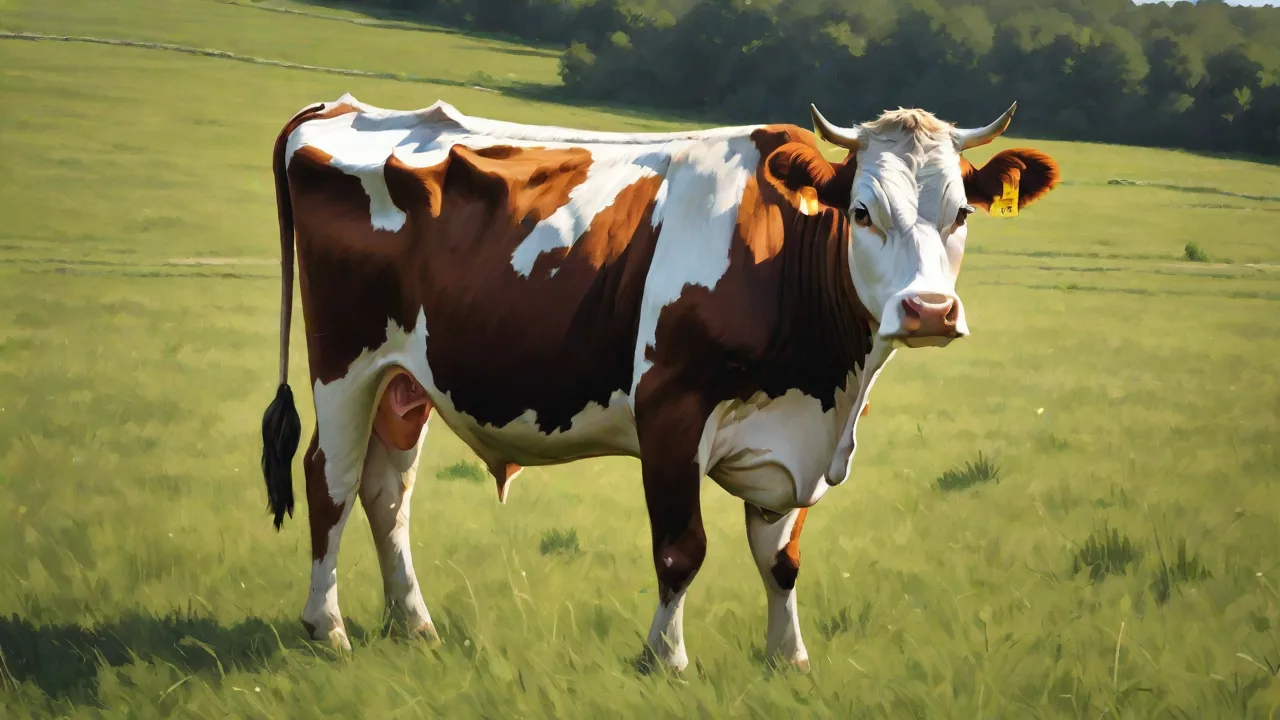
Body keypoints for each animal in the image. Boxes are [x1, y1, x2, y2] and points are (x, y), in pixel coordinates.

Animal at [258, 93, 1060, 672]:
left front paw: (789, 659)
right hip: (345, 362)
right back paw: (327, 627)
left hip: (405, 378)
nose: (930, 310)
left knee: (386, 489)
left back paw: (413, 624)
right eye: (862, 212)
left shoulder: (794, 436)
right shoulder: (671, 410)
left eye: (961, 211)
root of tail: (336, 109)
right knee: (329, 478)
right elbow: (682, 548)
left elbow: (782, 560)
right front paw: (665, 659)